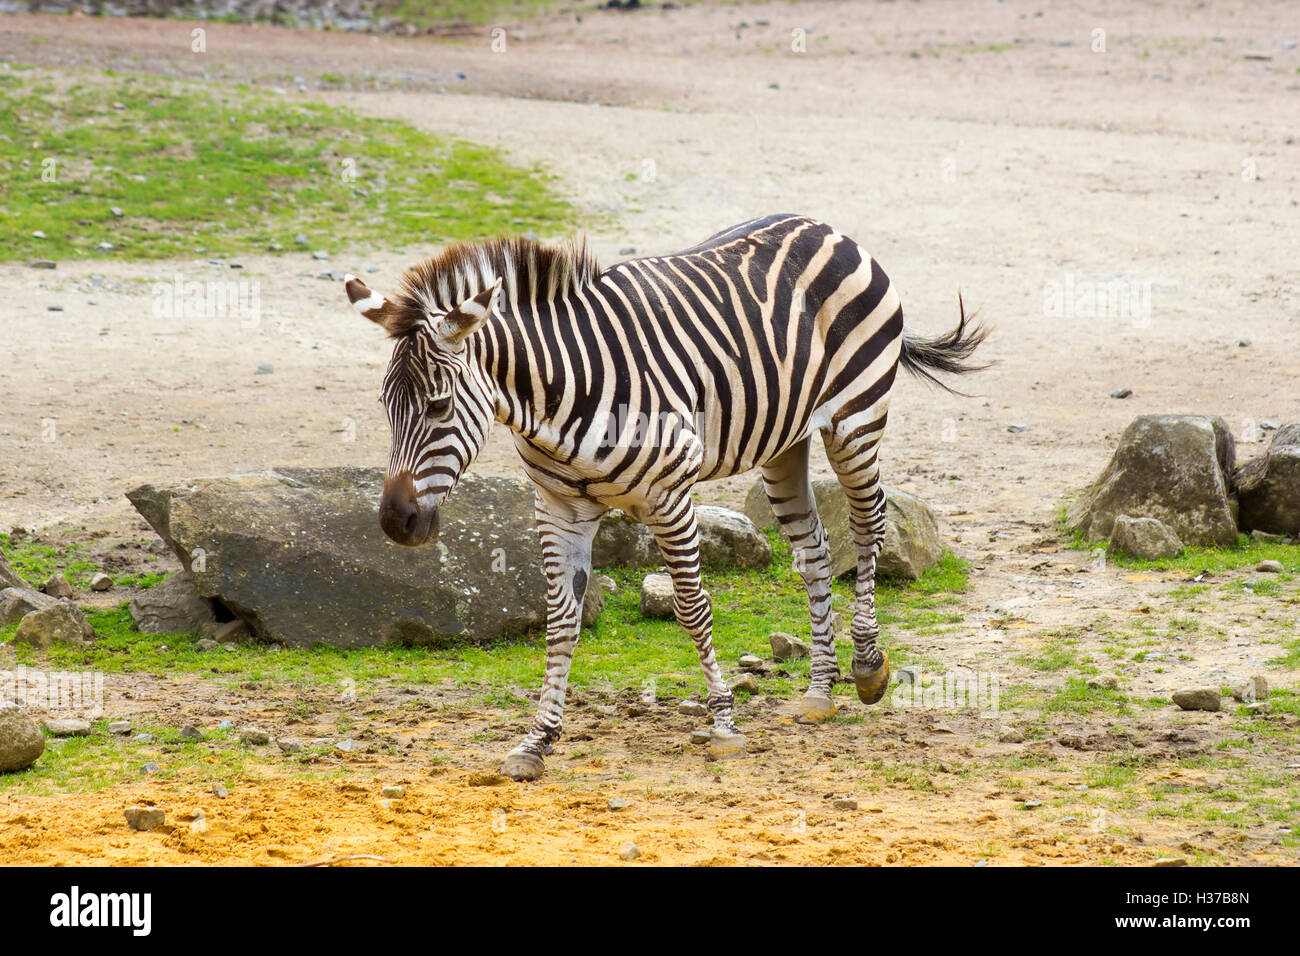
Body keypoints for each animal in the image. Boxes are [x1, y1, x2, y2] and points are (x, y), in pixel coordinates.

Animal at [344, 213, 987, 781]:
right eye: (383, 406)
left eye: (437, 407)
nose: (396, 523)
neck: (557, 397)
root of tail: (826, 227)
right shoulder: (558, 508)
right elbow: (561, 620)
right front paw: (537, 741)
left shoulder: (670, 498)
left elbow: (692, 609)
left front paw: (724, 723)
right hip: (785, 441)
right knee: (814, 553)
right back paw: (820, 691)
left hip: (856, 419)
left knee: (869, 524)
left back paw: (868, 667)